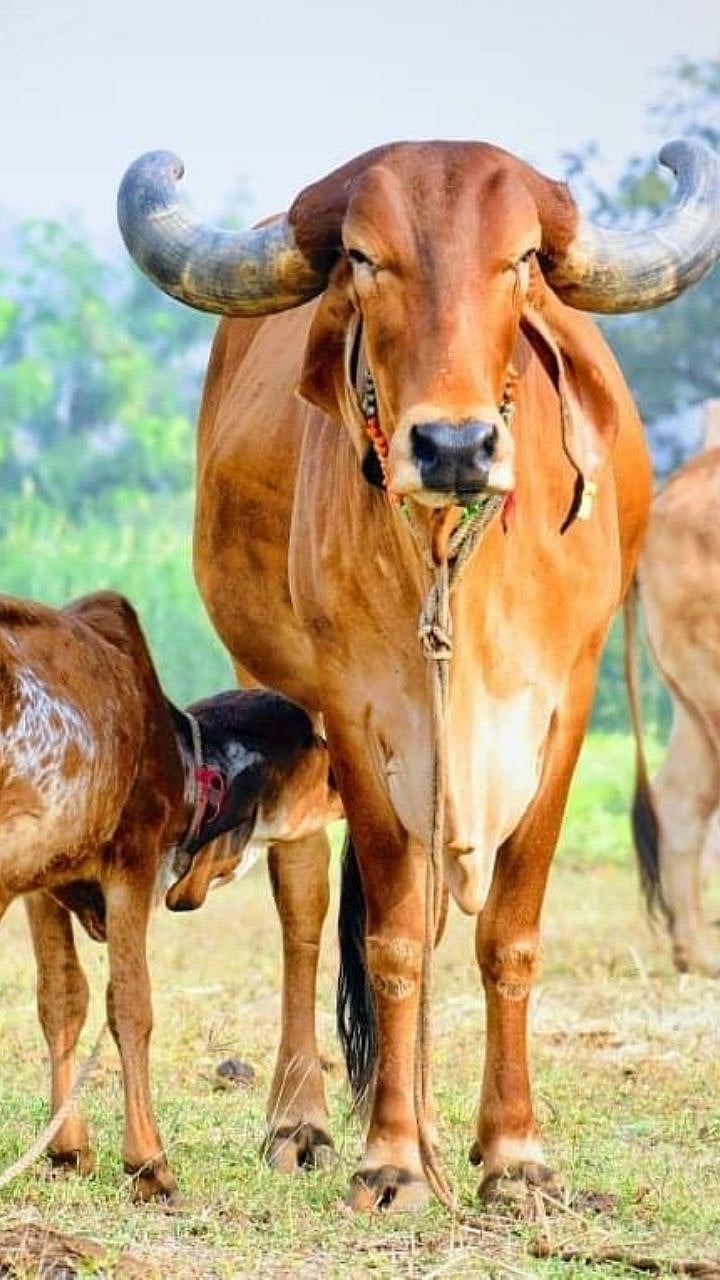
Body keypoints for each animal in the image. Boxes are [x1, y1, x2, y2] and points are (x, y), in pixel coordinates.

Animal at [0, 589, 339, 1201]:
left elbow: (62, 998)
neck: (179, 758)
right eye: (318, 748)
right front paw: (149, 1164)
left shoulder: (43, 886)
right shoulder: (131, 868)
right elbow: (131, 1005)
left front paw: (68, 1148)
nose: (347, 784)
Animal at [118, 137, 720, 1211]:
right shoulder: (359, 717)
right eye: (364, 257)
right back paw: (303, 1117)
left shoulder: (563, 713)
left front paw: (511, 1152)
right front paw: (393, 1155)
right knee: (306, 902)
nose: (452, 447)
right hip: (280, 697)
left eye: (520, 260)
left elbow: (505, 936)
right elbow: (389, 936)